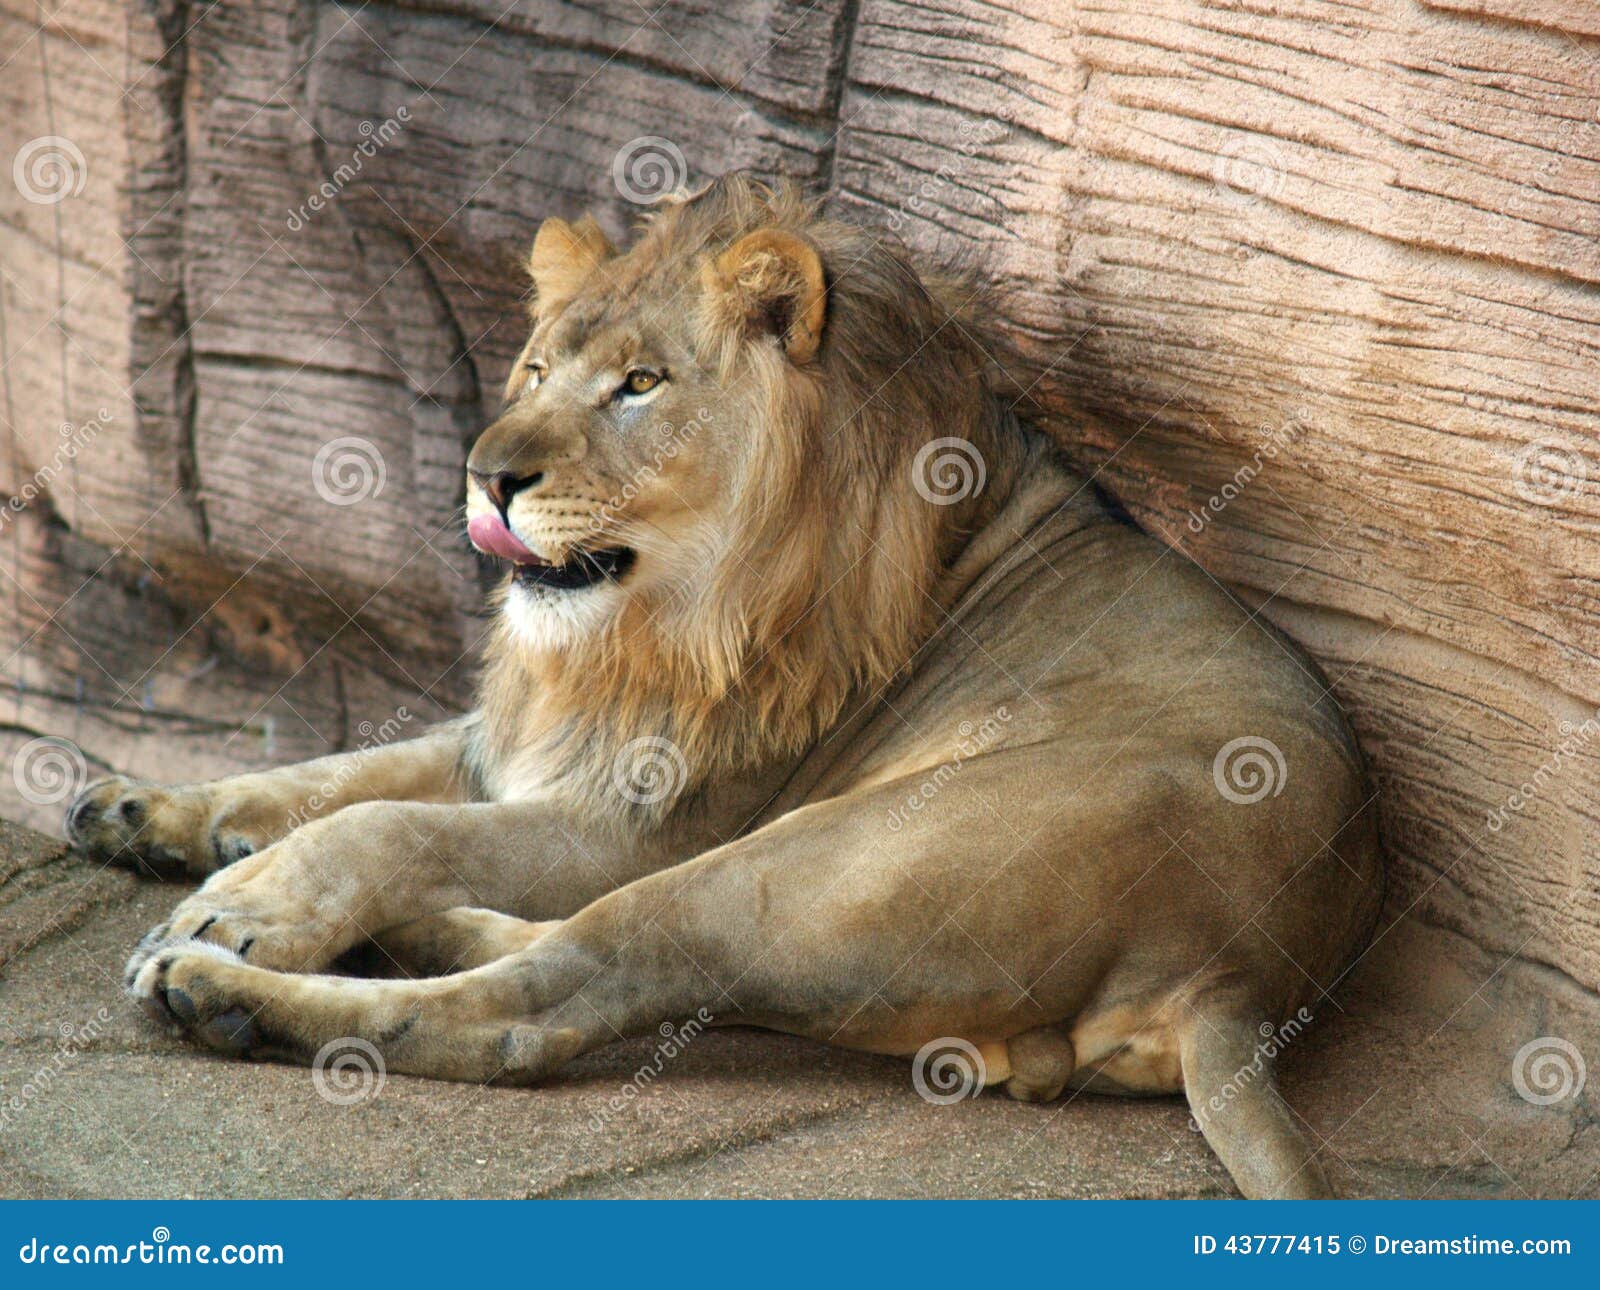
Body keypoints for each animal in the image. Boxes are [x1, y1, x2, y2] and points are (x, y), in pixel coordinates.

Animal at [67, 174, 1383, 1199]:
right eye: (534, 369)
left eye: (640, 385)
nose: (486, 474)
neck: (636, 632)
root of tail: (1244, 981)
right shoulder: (532, 741)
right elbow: (342, 774)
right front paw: (145, 810)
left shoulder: (639, 820)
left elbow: (386, 824)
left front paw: (235, 909)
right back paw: (404, 928)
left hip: (786, 864)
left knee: (541, 1005)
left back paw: (220, 992)